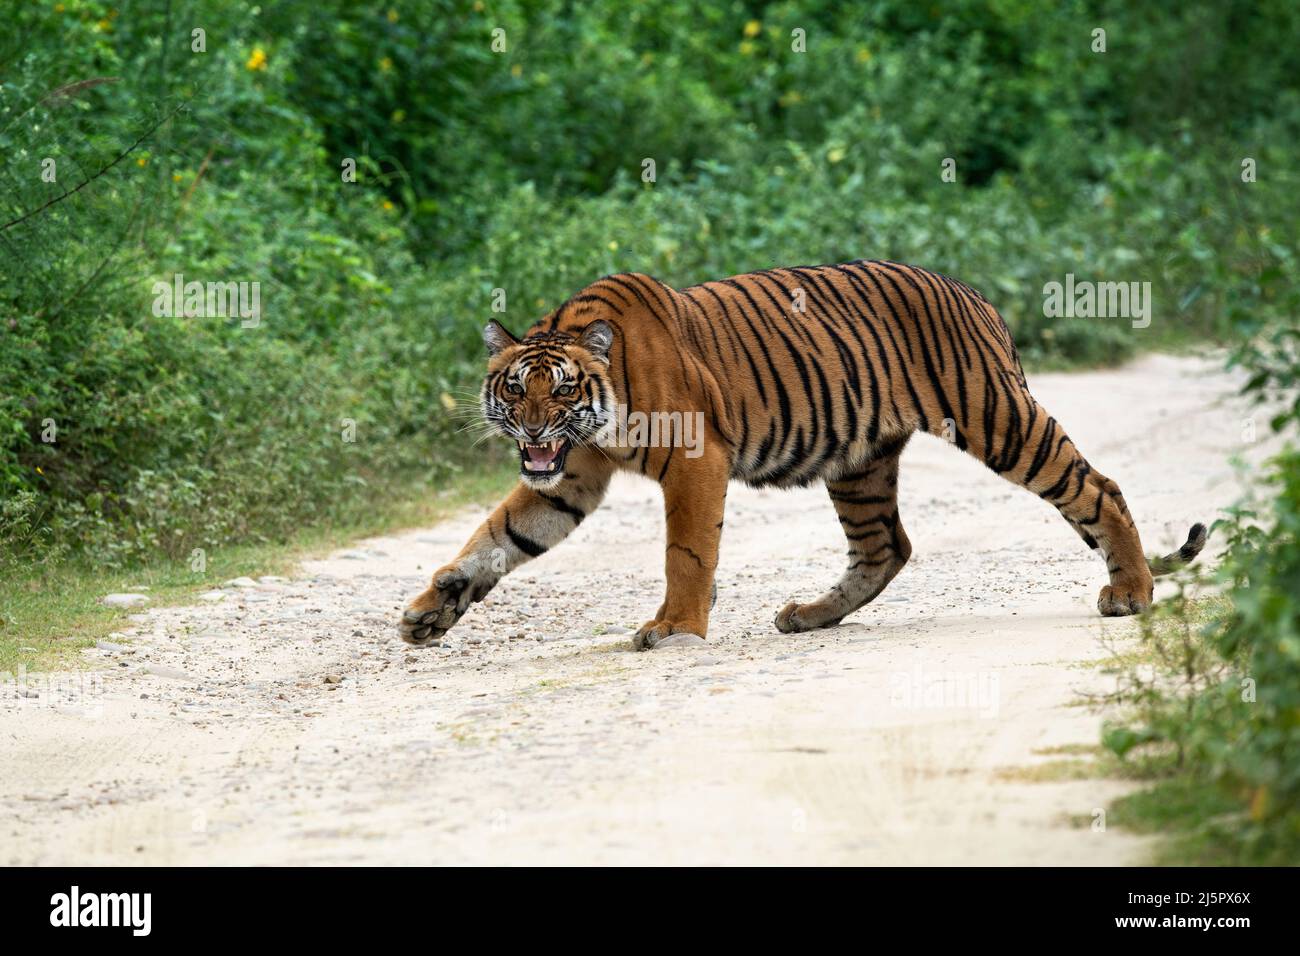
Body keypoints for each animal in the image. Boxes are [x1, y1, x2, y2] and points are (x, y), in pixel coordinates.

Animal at [399, 260, 1206, 650]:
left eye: (562, 391)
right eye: (514, 389)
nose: (533, 431)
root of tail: (973, 293)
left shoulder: (694, 461)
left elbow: (686, 552)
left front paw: (675, 628)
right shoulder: (569, 477)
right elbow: (495, 538)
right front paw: (431, 612)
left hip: (997, 419)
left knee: (1097, 486)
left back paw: (1131, 592)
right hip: (860, 462)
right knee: (885, 547)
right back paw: (811, 615)